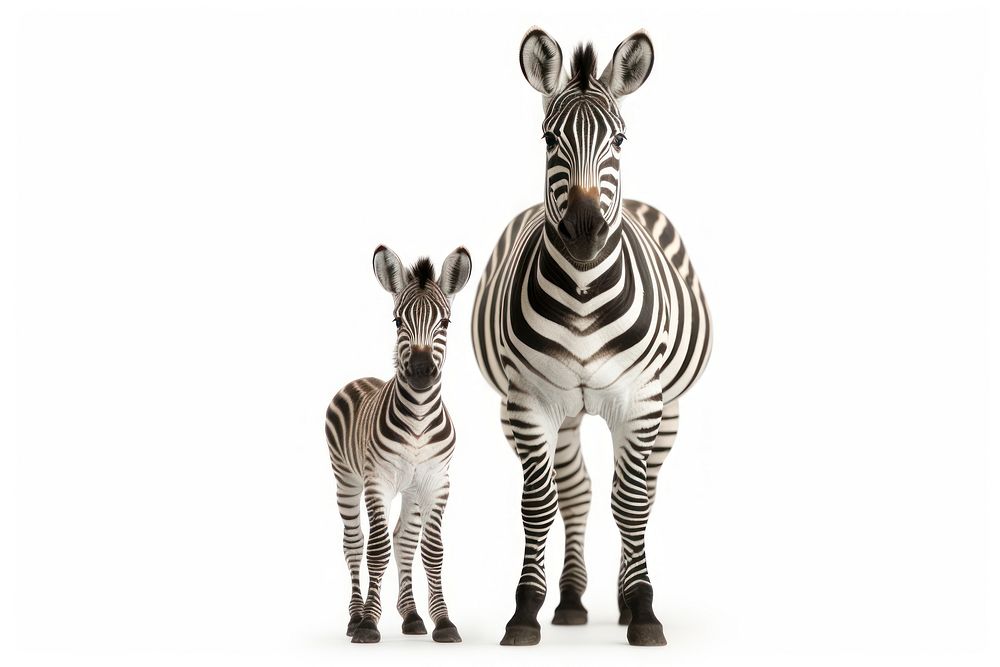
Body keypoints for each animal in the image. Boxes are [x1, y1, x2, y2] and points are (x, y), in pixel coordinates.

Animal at [326, 245, 472, 644]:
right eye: (397, 322)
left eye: (446, 323)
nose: (421, 372)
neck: (418, 421)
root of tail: (360, 378)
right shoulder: (378, 481)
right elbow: (376, 550)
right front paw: (368, 625)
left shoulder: (436, 482)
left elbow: (429, 550)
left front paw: (443, 621)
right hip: (346, 480)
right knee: (354, 543)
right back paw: (354, 616)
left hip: (411, 489)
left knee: (404, 541)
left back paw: (411, 615)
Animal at [470, 29, 713, 646]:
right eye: (549, 138)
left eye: (619, 139)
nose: (584, 233)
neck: (582, 296)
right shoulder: (530, 402)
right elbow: (540, 505)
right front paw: (525, 611)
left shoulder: (641, 402)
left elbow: (629, 504)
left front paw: (644, 612)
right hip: (548, 414)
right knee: (576, 491)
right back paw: (572, 600)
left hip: (668, 408)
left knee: (641, 493)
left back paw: (625, 601)